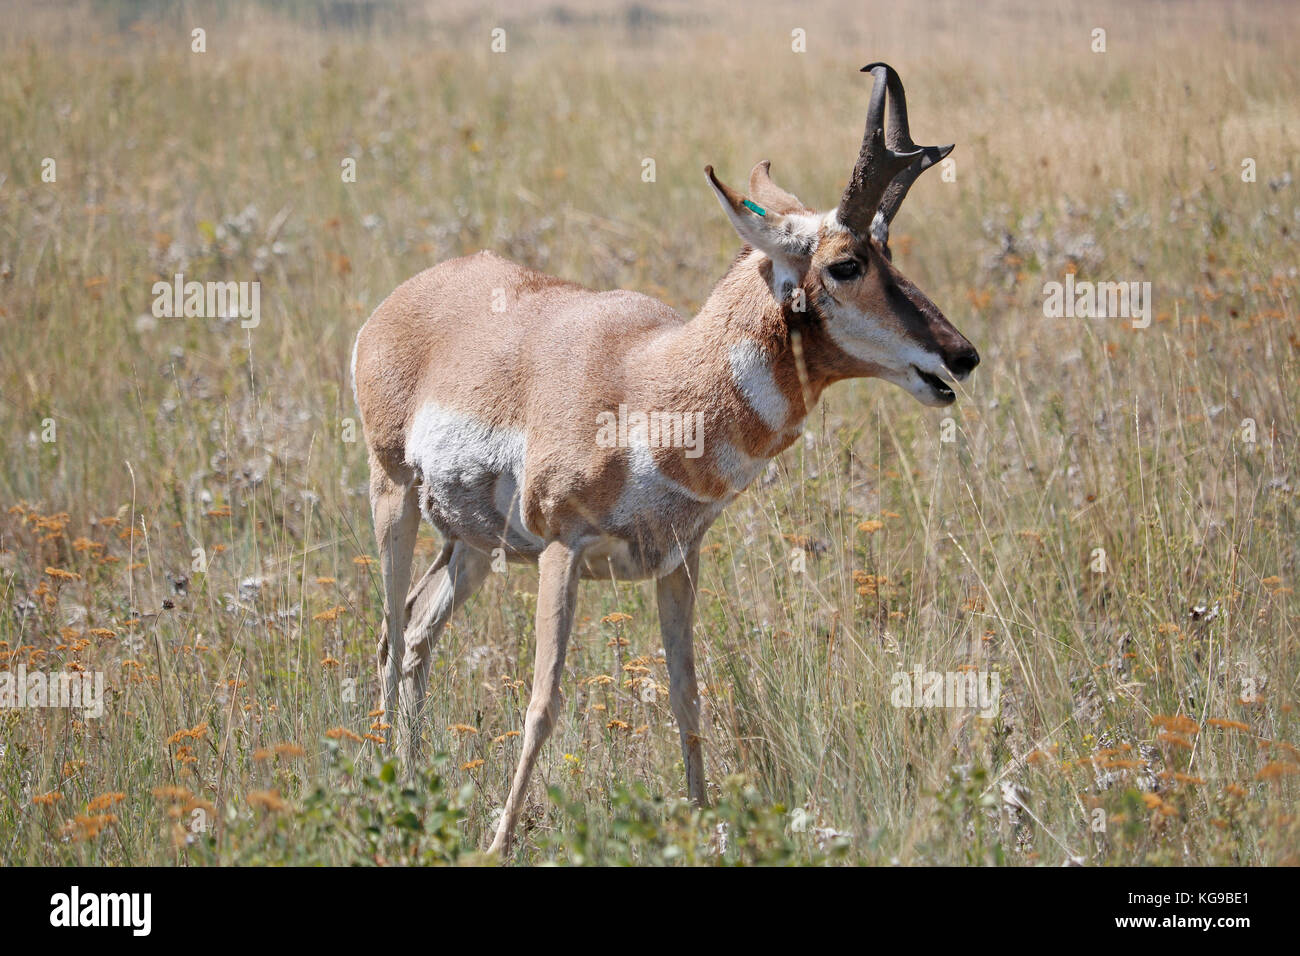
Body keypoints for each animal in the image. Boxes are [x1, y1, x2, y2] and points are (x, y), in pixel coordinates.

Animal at [351, 63, 978, 856]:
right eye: (846, 263)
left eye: (890, 250)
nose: (962, 355)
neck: (647, 377)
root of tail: (404, 298)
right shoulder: (563, 549)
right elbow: (543, 701)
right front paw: (497, 844)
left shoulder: (679, 561)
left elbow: (688, 697)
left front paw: (705, 825)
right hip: (394, 494)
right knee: (387, 633)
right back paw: (383, 785)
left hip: (472, 546)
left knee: (414, 631)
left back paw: (407, 780)